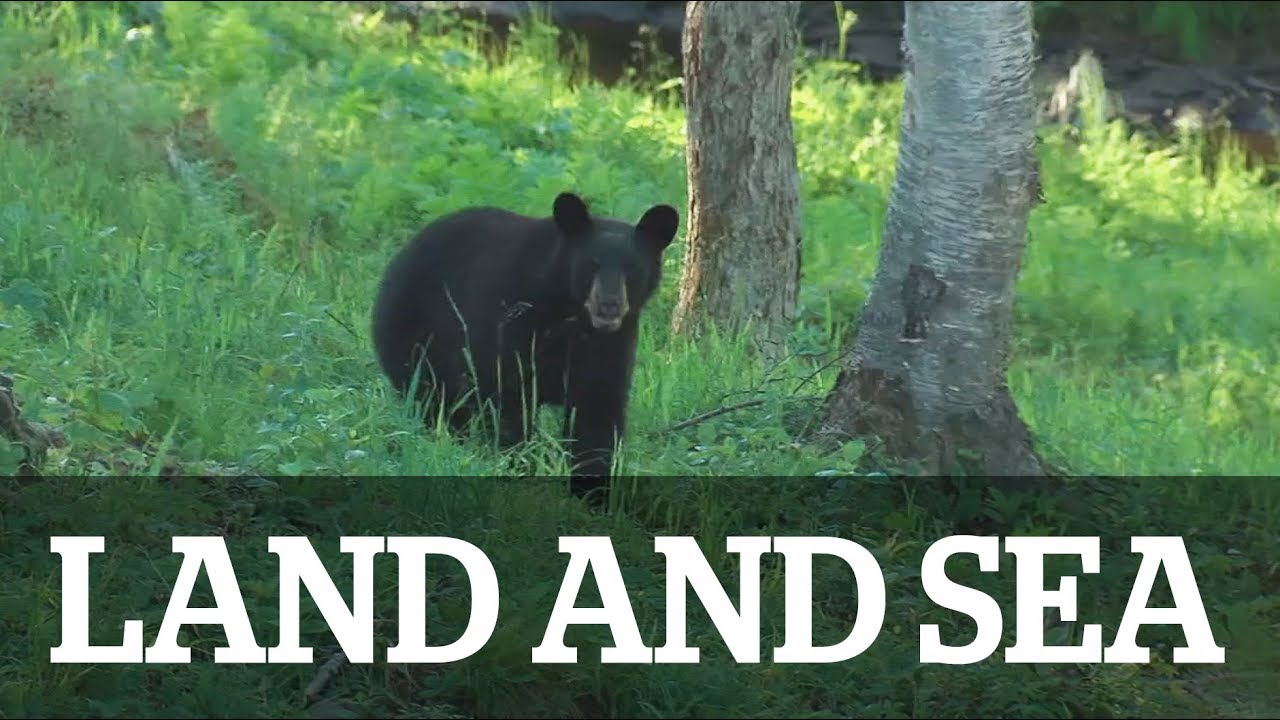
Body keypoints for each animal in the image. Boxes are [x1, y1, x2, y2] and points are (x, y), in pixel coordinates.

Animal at [371, 191, 680, 504]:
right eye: (591, 264)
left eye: (632, 268)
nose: (609, 305)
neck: (571, 318)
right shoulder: (513, 321)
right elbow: (509, 399)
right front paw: (520, 469)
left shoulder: (611, 345)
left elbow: (597, 411)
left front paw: (592, 493)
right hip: (416, 334)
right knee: (432, 396)